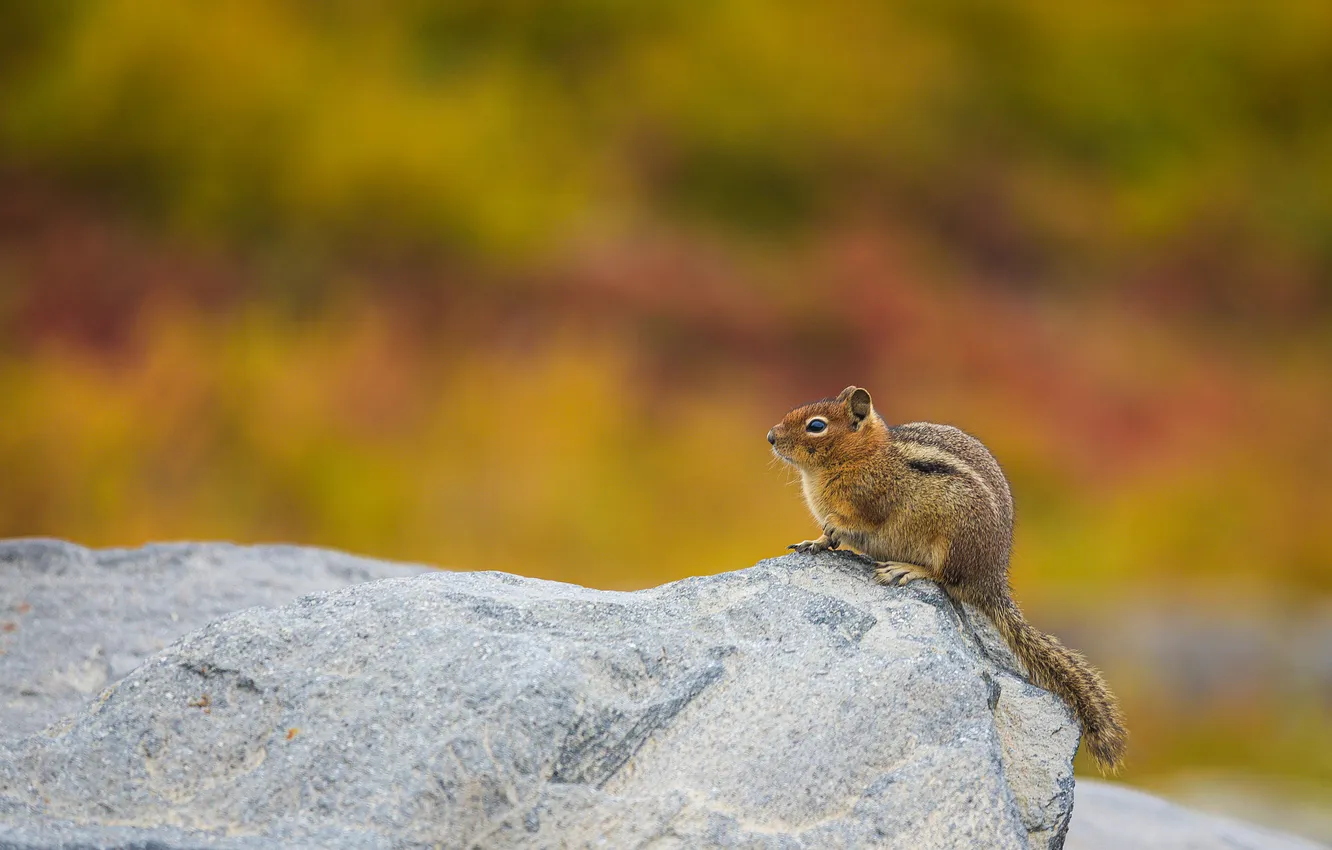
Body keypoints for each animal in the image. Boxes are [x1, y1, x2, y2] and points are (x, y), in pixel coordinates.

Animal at [767, 385, 1127, 774]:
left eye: (816, 426)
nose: (770, 436)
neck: (862, 455)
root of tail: (991, 579)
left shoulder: (873, 499)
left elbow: (859, 522)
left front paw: (836, 529)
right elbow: (827, 538)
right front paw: (814, 542)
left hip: (952, 540)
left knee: (947, 579)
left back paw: (906, 569)